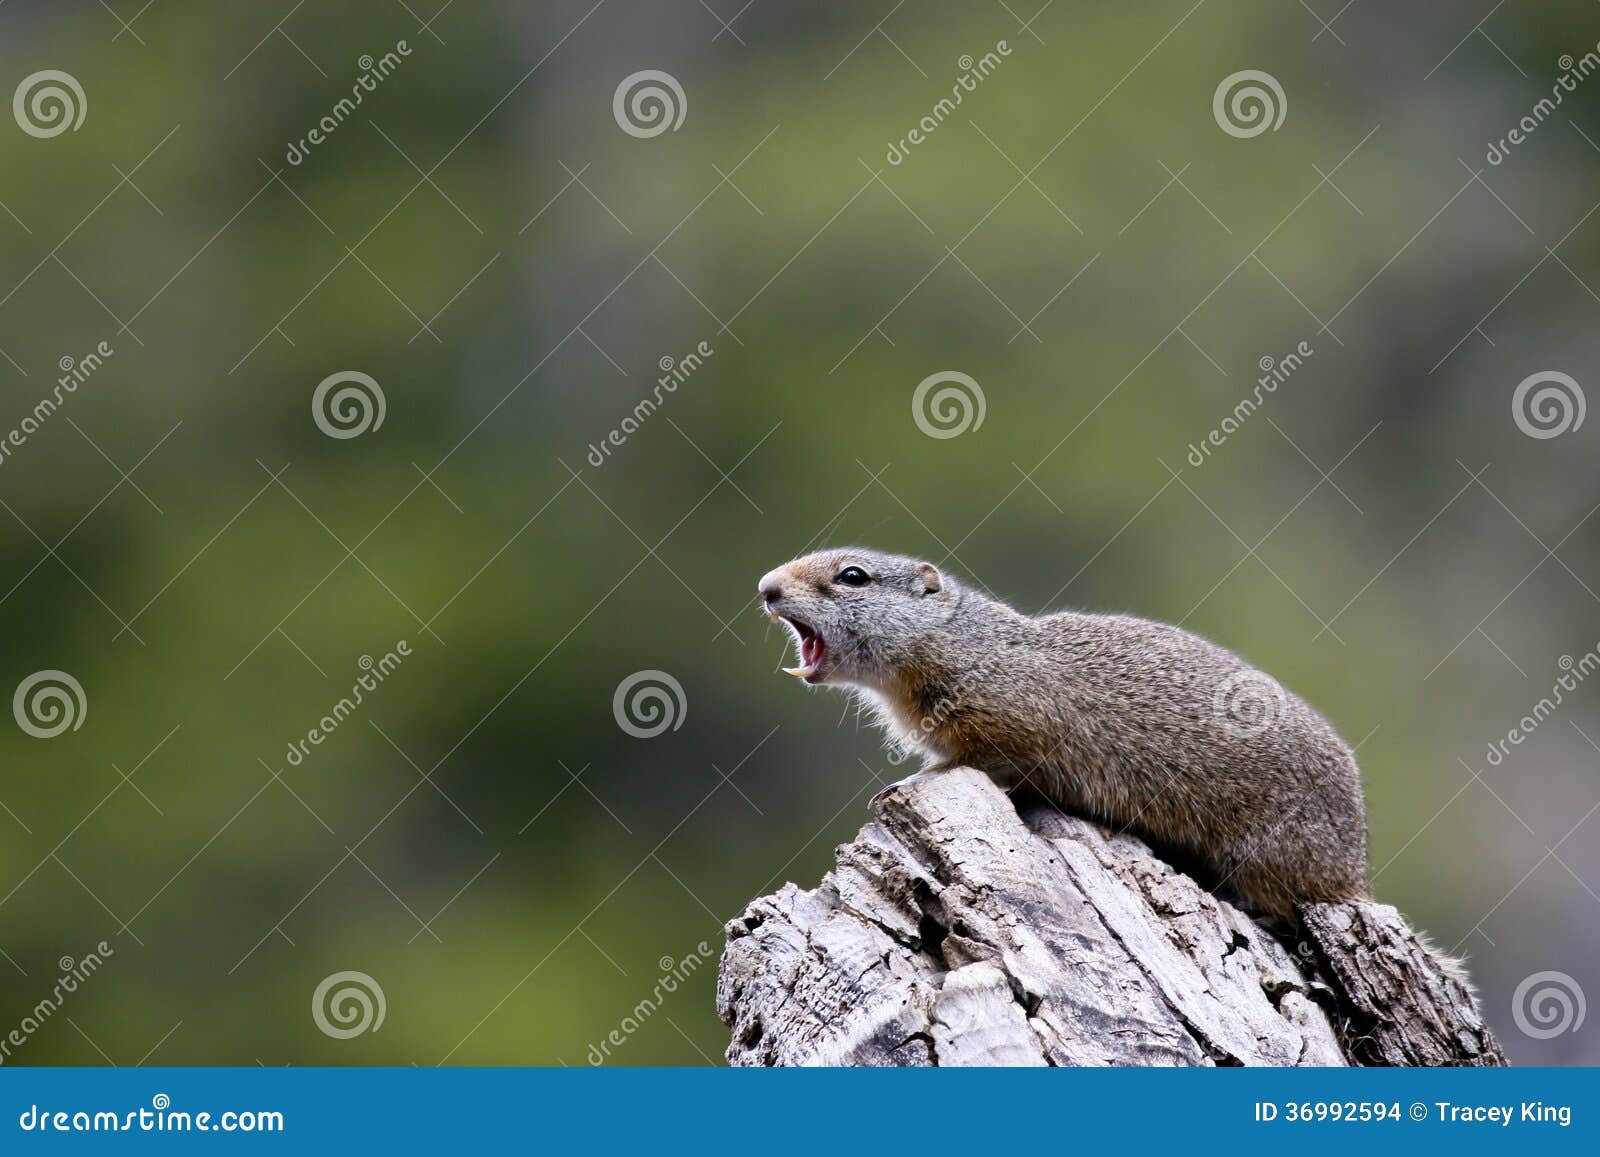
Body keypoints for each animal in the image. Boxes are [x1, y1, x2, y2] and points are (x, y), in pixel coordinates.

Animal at [756, 546, 1369, 922]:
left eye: (852, 576)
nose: (766, 587)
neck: (952, 641)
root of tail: (1356, 866)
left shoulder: (1006, 722)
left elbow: (976, 761)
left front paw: (909, 781)